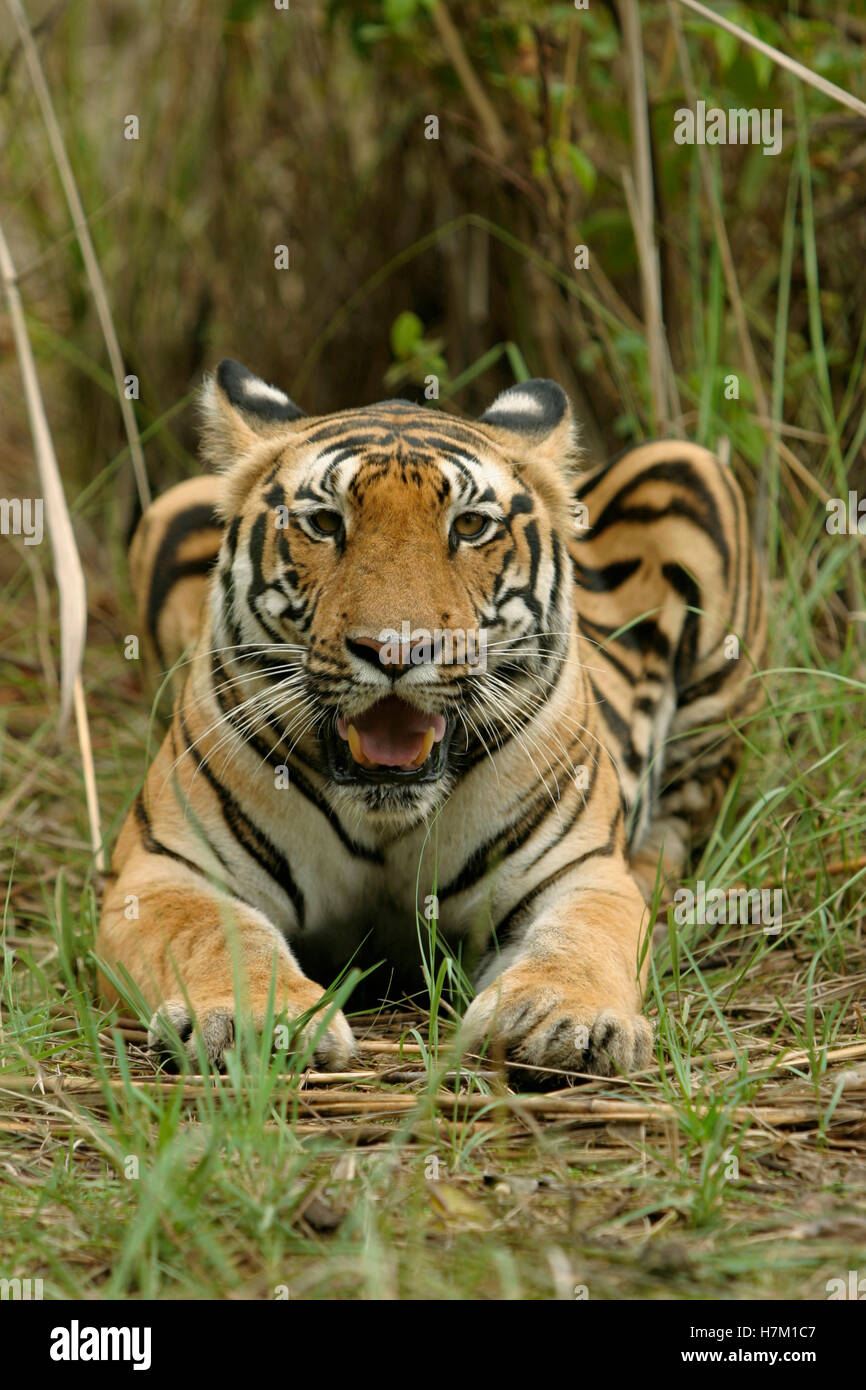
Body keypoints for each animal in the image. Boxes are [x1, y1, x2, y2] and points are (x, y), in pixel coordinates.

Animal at [97, 358, 765, 1077]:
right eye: (325, 523)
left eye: (469, 526)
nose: (396, 649)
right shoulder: (165, 868)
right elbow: (213, 935)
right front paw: (251, 1019)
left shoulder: (579, 872)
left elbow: (582, 939)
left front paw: (569, 1020)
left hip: (692, 475)